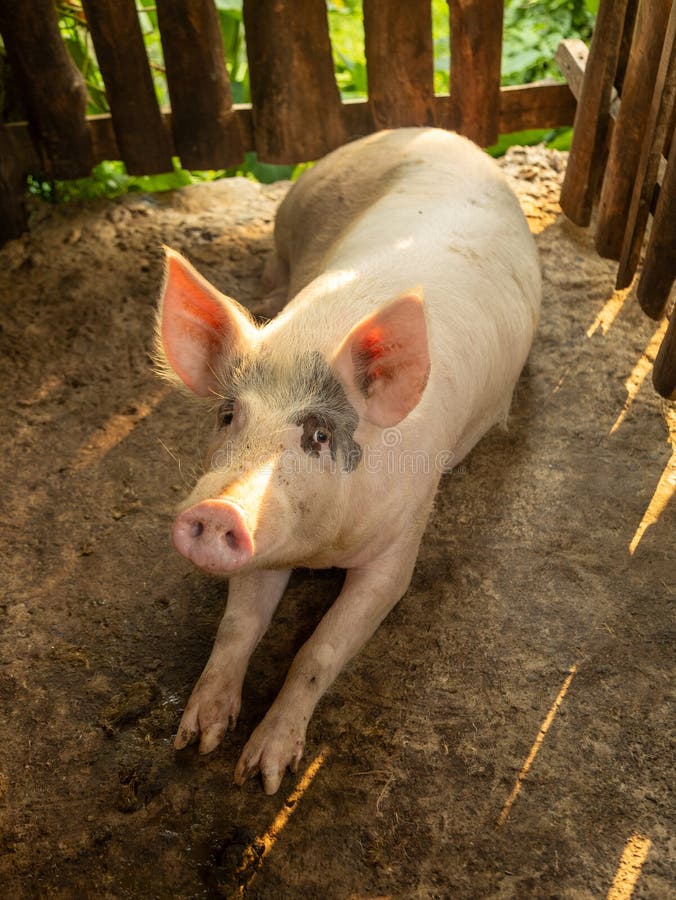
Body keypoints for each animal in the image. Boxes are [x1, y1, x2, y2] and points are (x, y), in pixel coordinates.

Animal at [154, 127, 541, 794]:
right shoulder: (267, 541)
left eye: (318, 435)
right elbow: (237, 625)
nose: (216, 509)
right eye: (228, 415)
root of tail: (424, 130)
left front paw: (263, 776)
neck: (319, 550)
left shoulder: (400, 545)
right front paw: (196, 740)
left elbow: (319, 650)